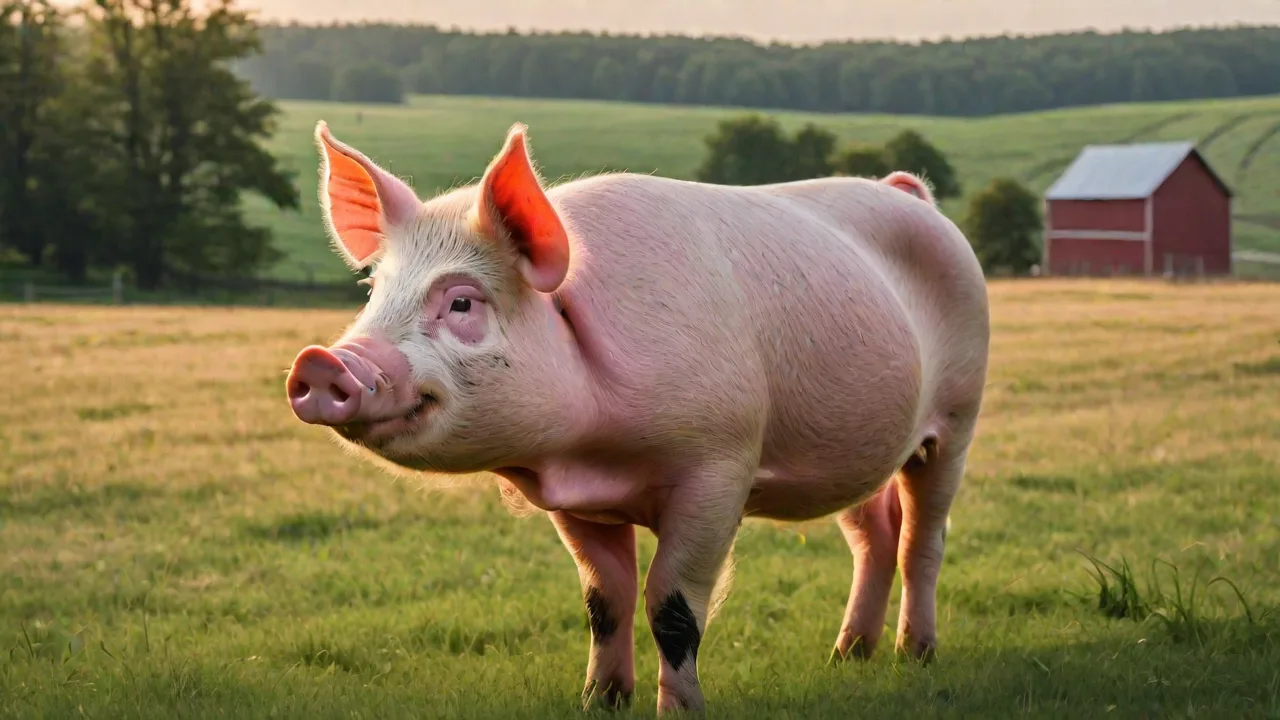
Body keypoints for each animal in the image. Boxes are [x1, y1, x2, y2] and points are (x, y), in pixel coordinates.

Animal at [285, 120, 989, 714]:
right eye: (373, 292)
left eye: (462, 301)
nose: (322, 361)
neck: (593, 452)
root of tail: (908, 194)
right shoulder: (577, 502)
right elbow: (605, 602)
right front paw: (598, 703)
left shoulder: (720, 464)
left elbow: (671, 607)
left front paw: (680, 713)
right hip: (853, 444)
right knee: (875, 531)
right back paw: (846, 658)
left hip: (960, 414)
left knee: (923, 538)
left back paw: (915, 657)